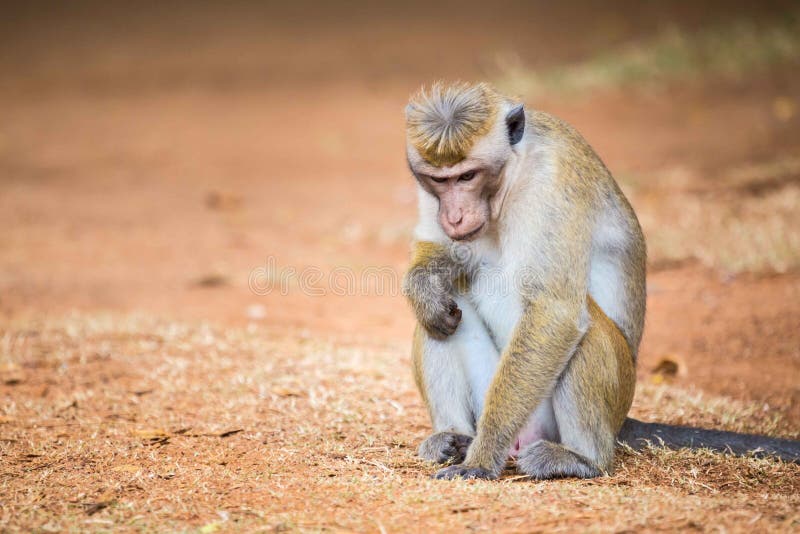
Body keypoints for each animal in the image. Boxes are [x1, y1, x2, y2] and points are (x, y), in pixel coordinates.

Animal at [401, 81, 800, 480]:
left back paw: (582, 458)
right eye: (439, 180)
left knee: (584, 324)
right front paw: (423, 289)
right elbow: (441, 255)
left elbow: (556, 312)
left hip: (607, 395)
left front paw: (482, 458)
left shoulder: (550, 181)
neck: (511, 175)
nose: (454, 216)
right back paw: (452, 434)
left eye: (467, 176)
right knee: (442, 315)